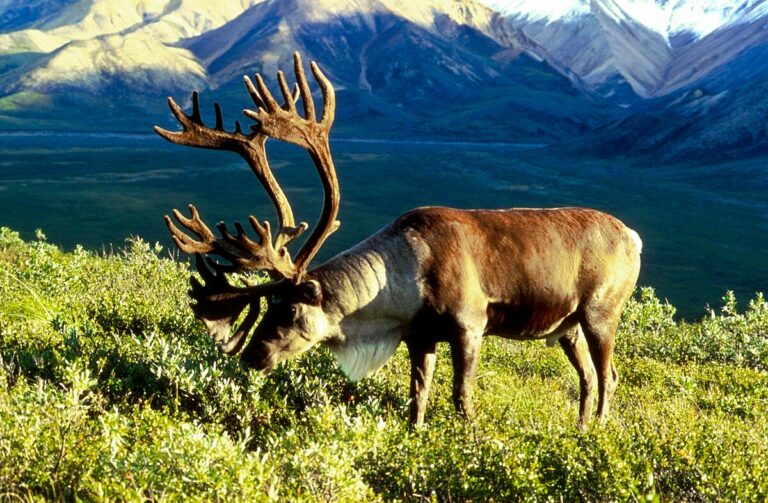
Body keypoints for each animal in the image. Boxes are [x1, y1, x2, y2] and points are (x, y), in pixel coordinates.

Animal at [155, 53, 642, 430]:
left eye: (290, 310)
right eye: (268, 305)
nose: (252, 356)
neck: (399, 285)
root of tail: (634, 237)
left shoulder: (470, 324)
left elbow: (461, 398)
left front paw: (471, 443)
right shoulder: (419, 336)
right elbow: (418, 397)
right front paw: (415, 436)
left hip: (601, 313)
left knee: (609, 376)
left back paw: (598, 433)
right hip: (567, 326)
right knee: (588, 377)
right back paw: (579, 431)